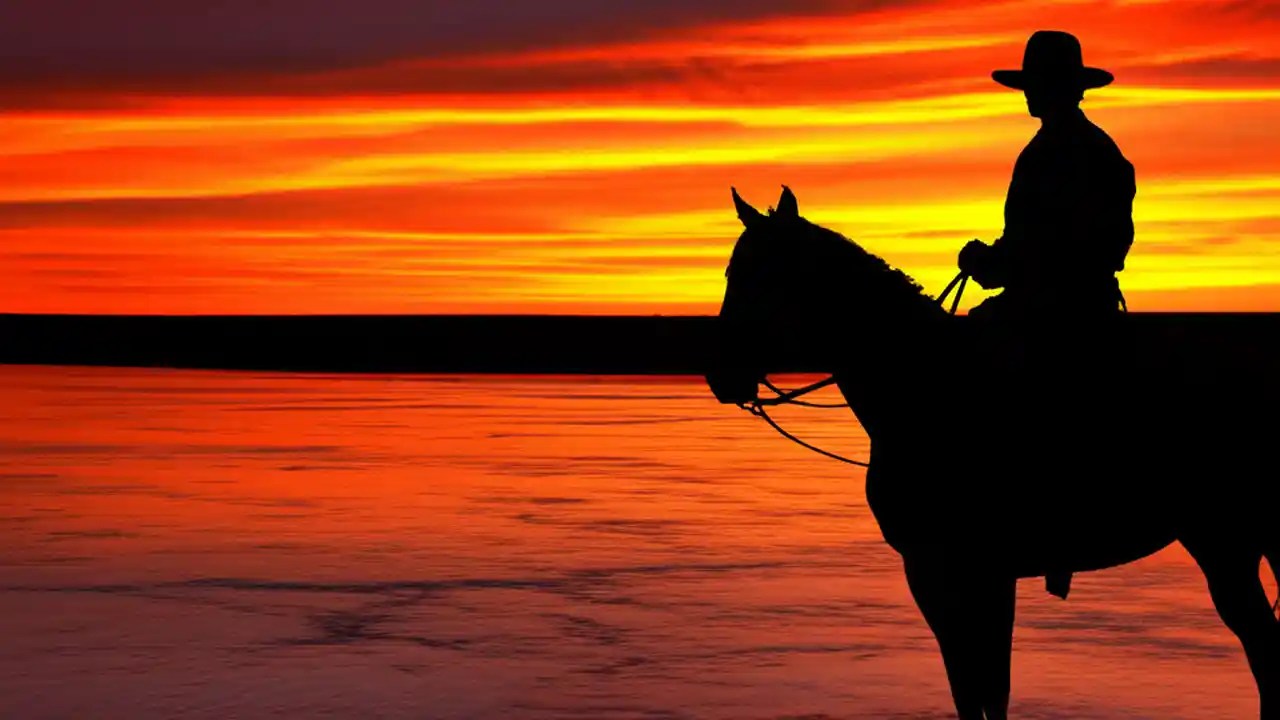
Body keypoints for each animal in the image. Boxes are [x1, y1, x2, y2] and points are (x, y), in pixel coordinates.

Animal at [705, 186, 1280, 719]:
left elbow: (981, 688)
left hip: (1223, 543)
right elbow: (979, 689)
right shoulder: (962, 575)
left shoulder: (957, 570)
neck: (928, 392)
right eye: (731, 271)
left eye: (757, 277)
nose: (718, 374)